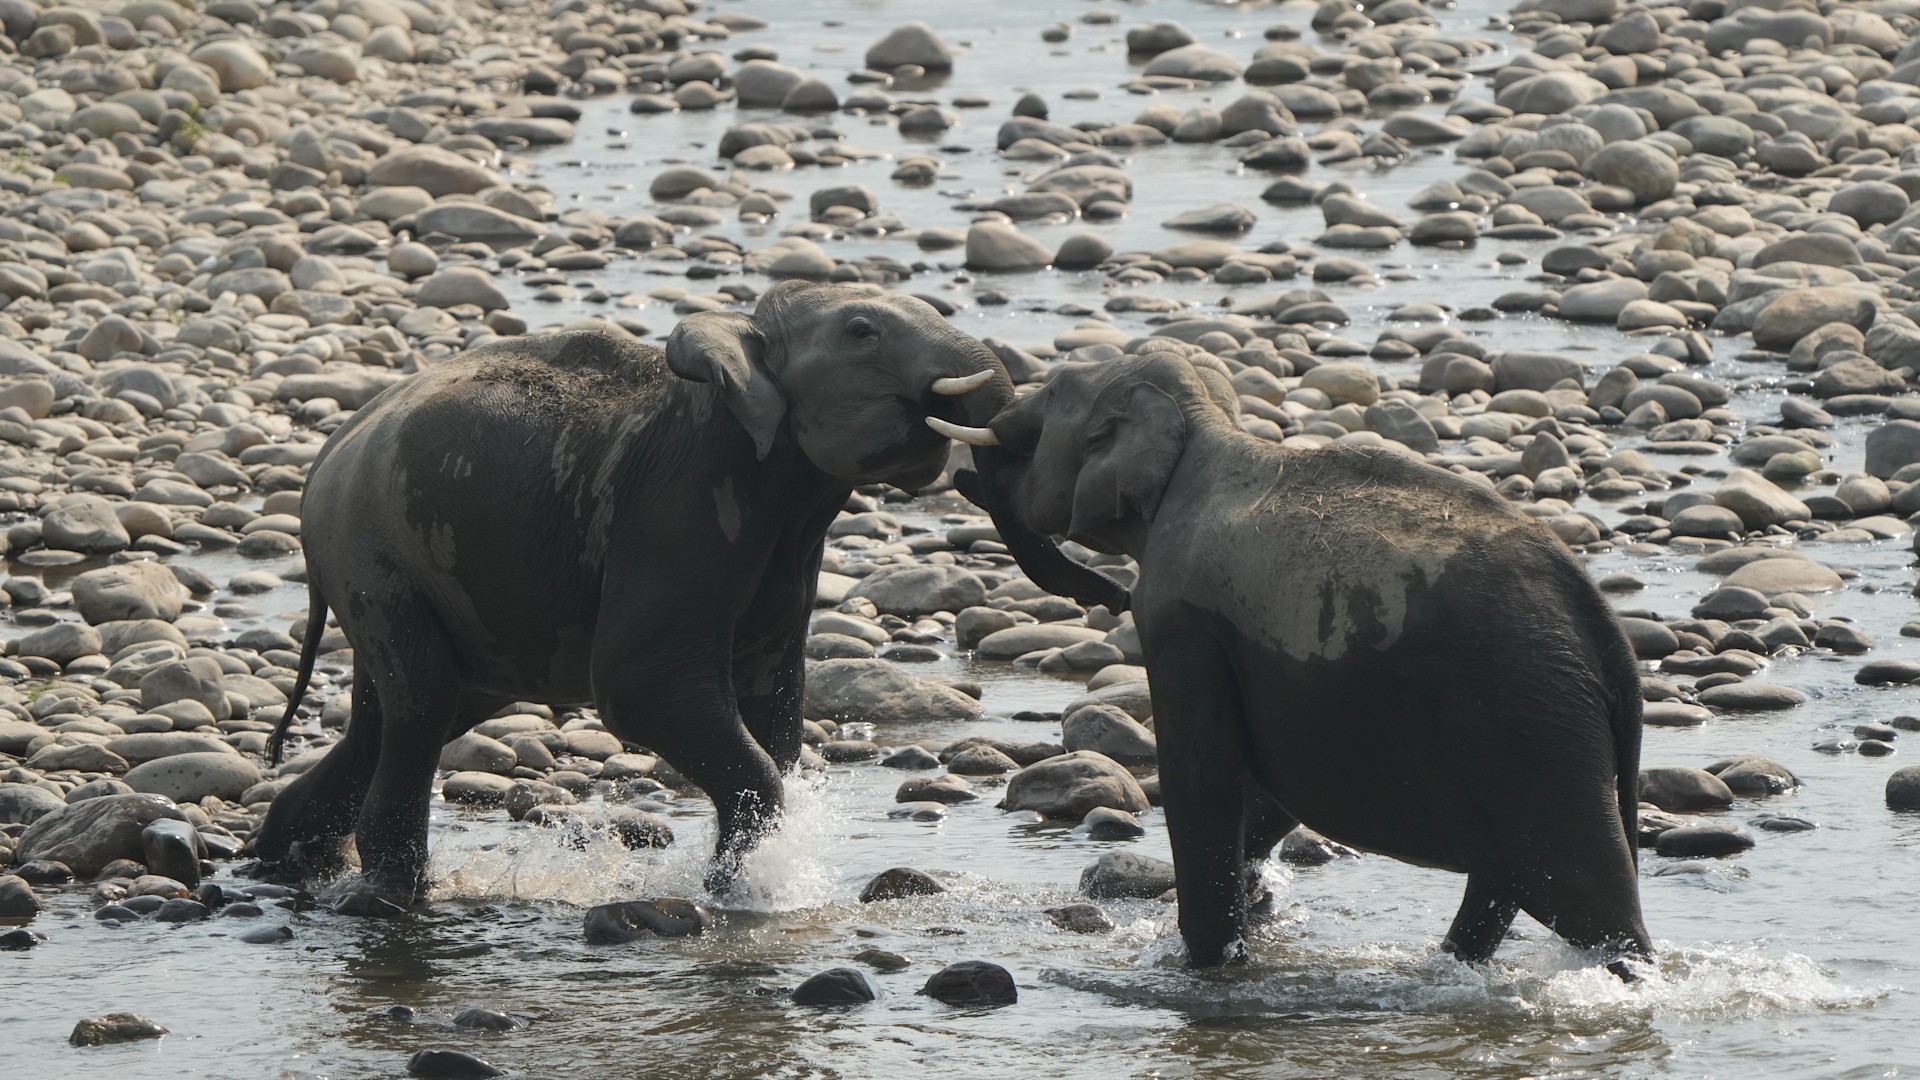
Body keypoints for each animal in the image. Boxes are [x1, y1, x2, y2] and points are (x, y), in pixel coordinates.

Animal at [253, 281, 1129, 903]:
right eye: (861, 333)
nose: (1115, 598)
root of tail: (321, 464)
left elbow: (772, 706)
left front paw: (741, 884)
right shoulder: (683, 506)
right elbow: (641, 688)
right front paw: (739, 892)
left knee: (401, 713)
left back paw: (286, 863)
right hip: (376, 557)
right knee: (422, 703)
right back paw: (394, 892)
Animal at [942, 352, 1653, 973]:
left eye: (1054, 390)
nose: (1106, 595)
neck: (1202, 427)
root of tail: (1609, 640)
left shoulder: (1182, 620)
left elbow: (1204, 775)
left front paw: (1206, 967)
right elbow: (1267, 789)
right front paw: (1249, 915)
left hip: (1532, 726)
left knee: (1585, 895)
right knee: (1507, 879)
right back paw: (1451, 966)